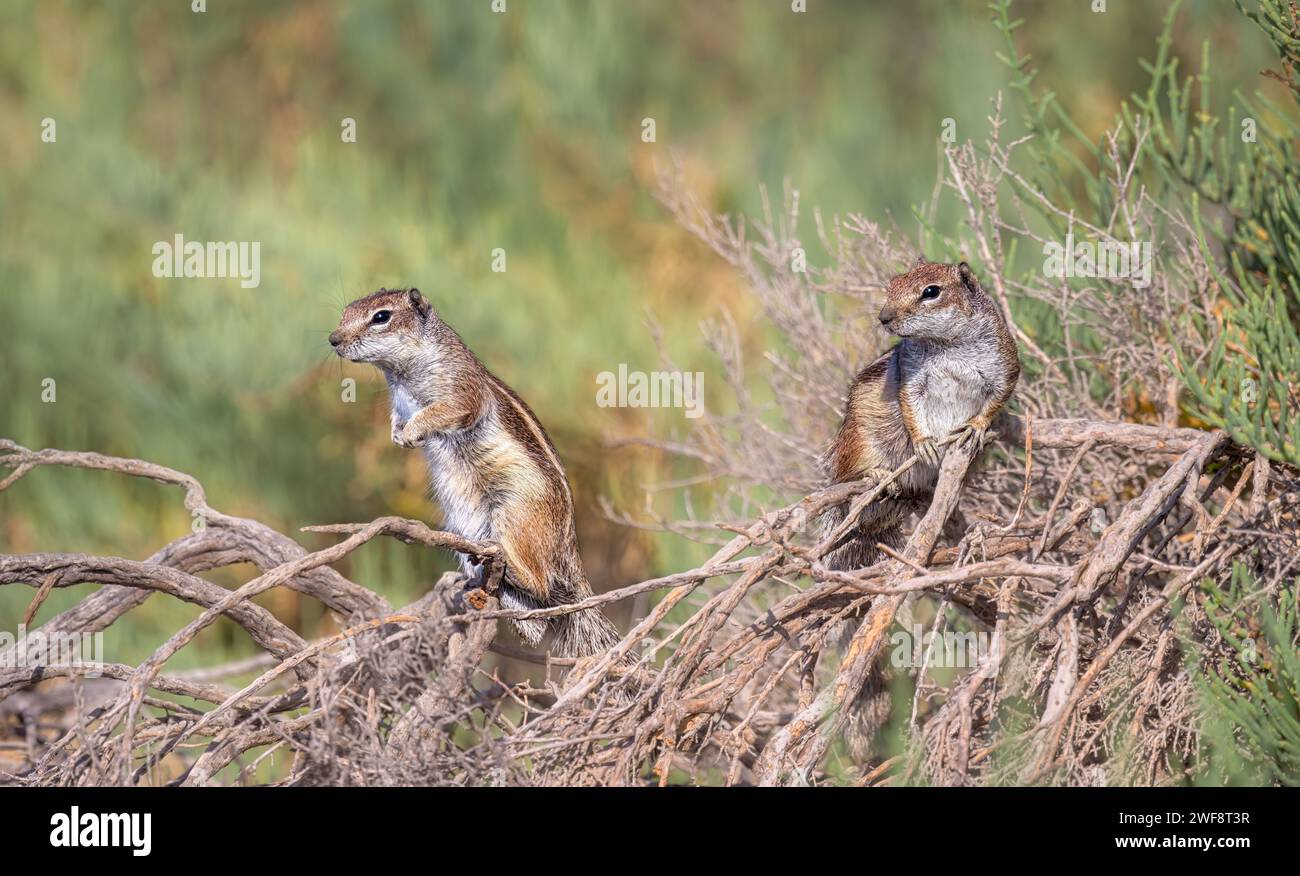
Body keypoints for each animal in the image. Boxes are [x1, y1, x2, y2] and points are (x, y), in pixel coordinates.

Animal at [329, 287, 621, 658]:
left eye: (382, 316)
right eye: (346, 311)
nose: (333, 339)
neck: (401, 374)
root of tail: (568, 544)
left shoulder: (460, 391)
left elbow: (446, 410)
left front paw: (413, 432)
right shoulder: (398, 403)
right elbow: (397, 418)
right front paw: (398, 435)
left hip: (516, 515)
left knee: (541, 583)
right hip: (465, 525)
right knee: (538, 615)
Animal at [821, 258, 1020, 757]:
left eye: (931, 291)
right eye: (891, 285)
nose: (884, 318)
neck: (946, 346)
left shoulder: (1004, 363)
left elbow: (999, 397)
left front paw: (976, 427)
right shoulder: (909, 376)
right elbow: (911, 410)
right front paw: (927, 442)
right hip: (859, 440)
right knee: (859, 472)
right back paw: (874, 478)